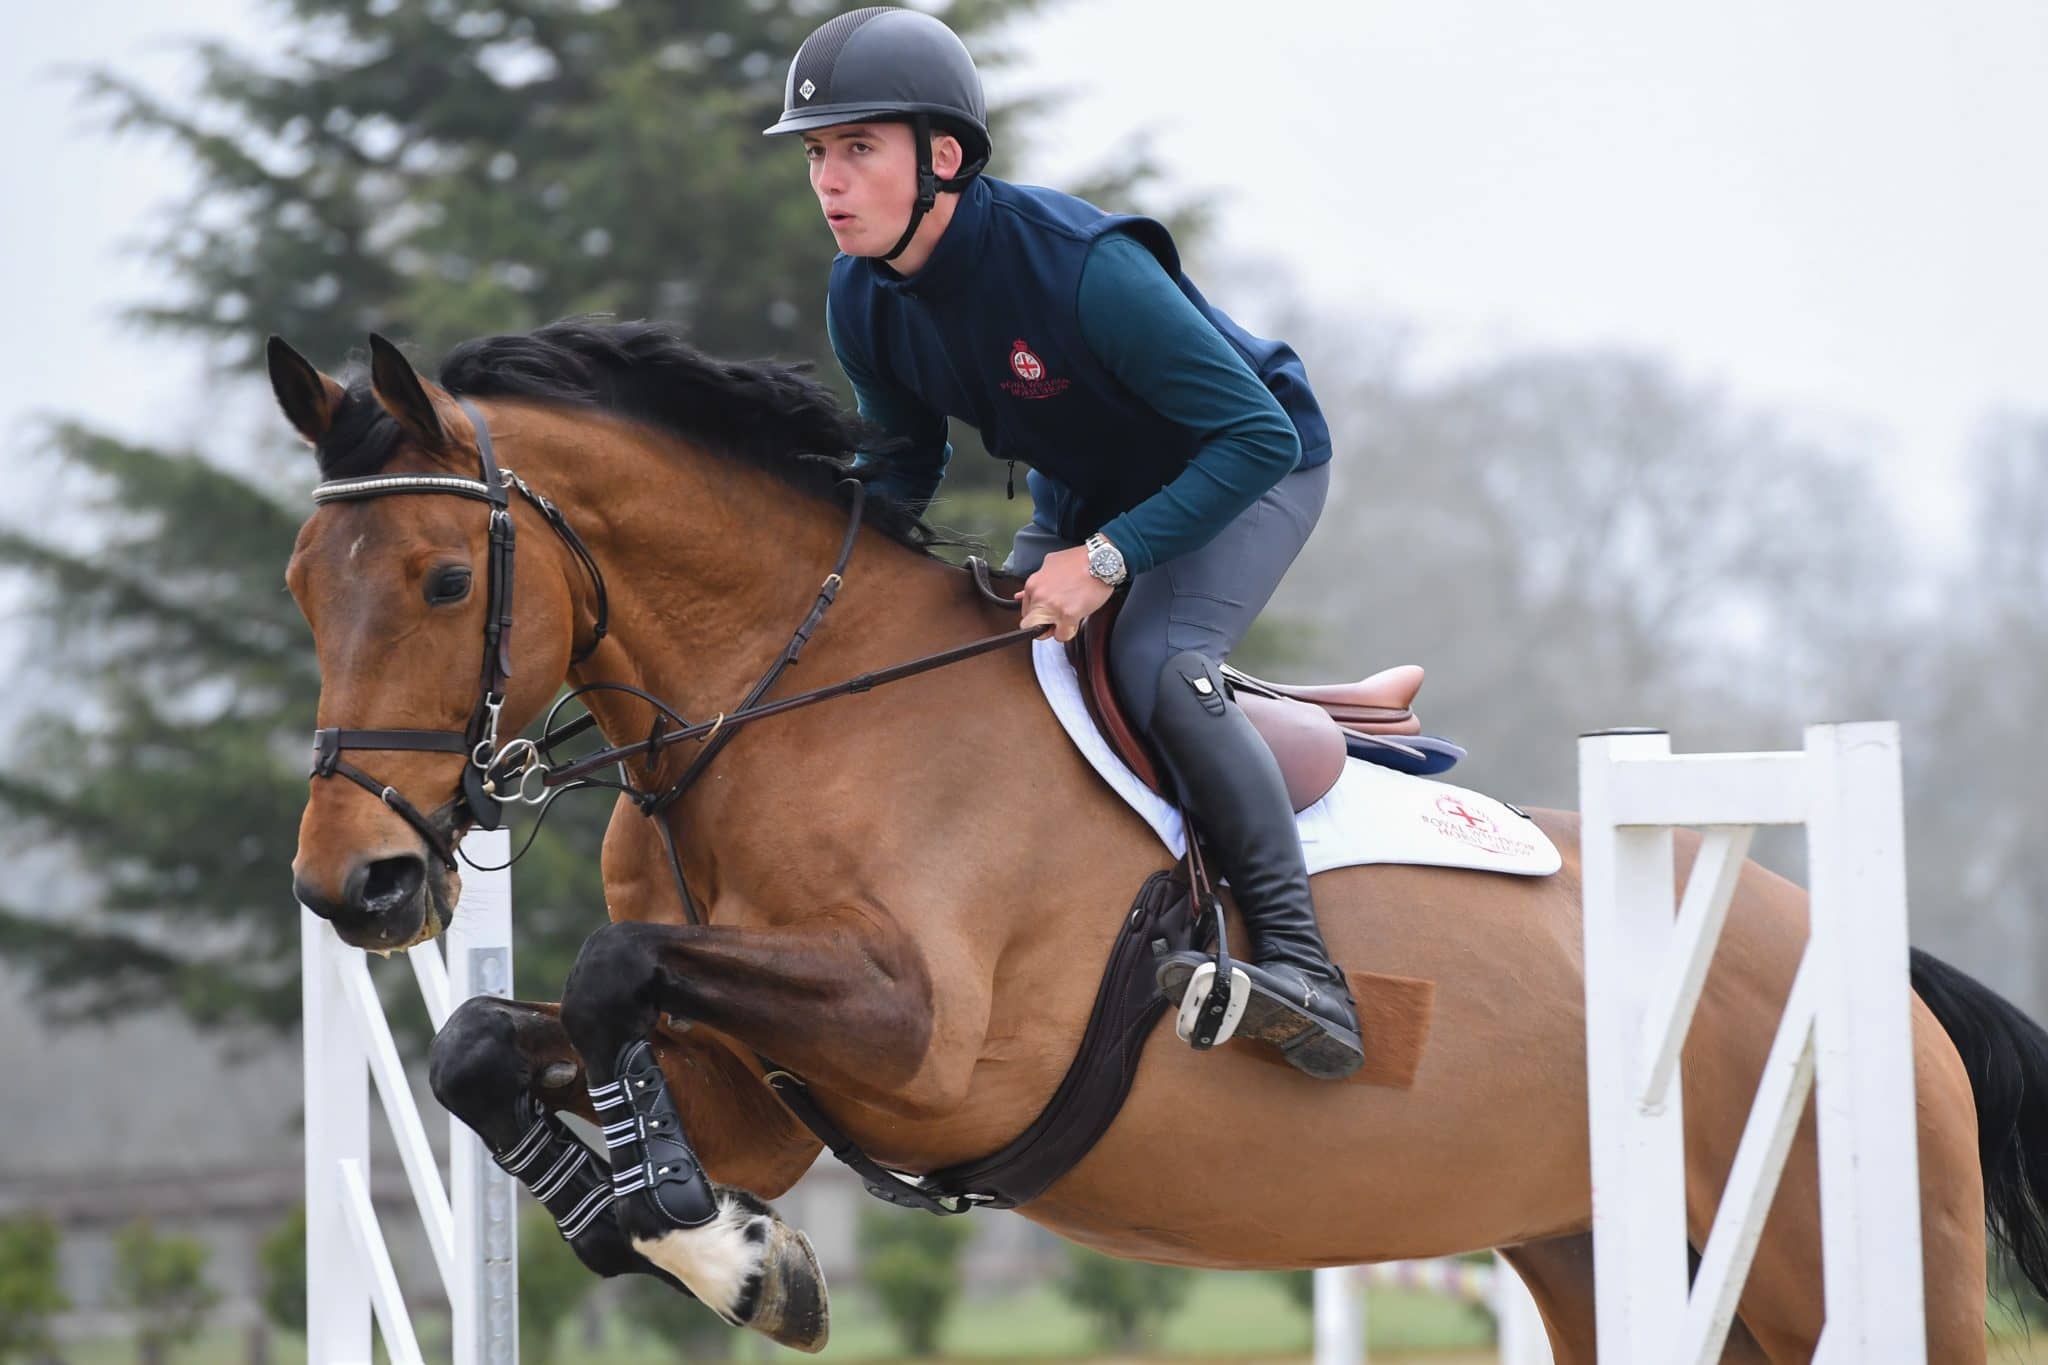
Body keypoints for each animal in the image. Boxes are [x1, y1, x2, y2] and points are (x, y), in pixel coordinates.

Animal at [272, 318, 2048, 1363]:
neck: (789, 706)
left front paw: (733, 1254)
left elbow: (619, 964)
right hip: (1605, 1255)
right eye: (304, 586)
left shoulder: (926, 1037)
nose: (356, 883)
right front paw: (715, 1245)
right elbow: (496, 1042)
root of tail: (1862, 963)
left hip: (1843, 1255)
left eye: (444, 578)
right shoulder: (750, 1091)